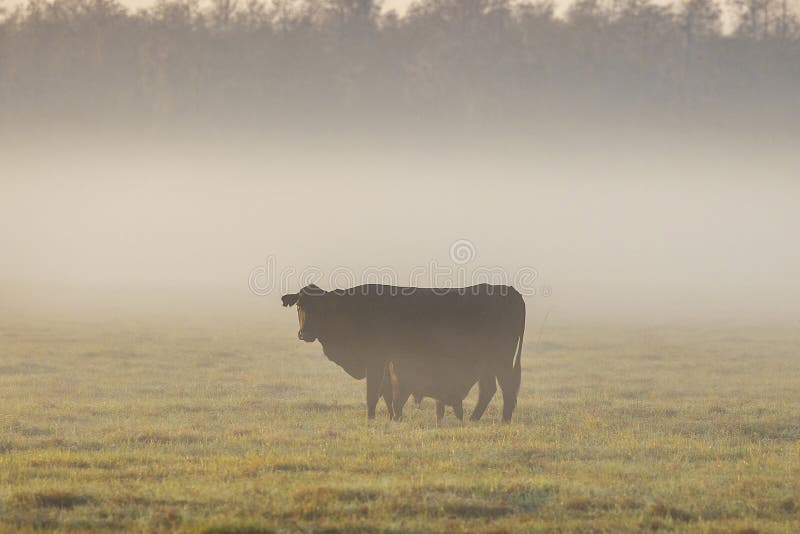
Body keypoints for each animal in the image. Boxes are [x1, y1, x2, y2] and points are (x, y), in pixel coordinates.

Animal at [281, 283, 525, 422]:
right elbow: (387, 393)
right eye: (299, 305)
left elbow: (373, 393)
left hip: (501, 359)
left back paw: (503, 420)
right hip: (486, 362)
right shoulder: (390, 362)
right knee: (489, 389)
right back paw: (474, 419)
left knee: (506, 388)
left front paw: (371, 419)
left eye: (321, 307)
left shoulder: (376, 359)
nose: (305, 333)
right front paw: (393, 417)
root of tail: (510, 291)